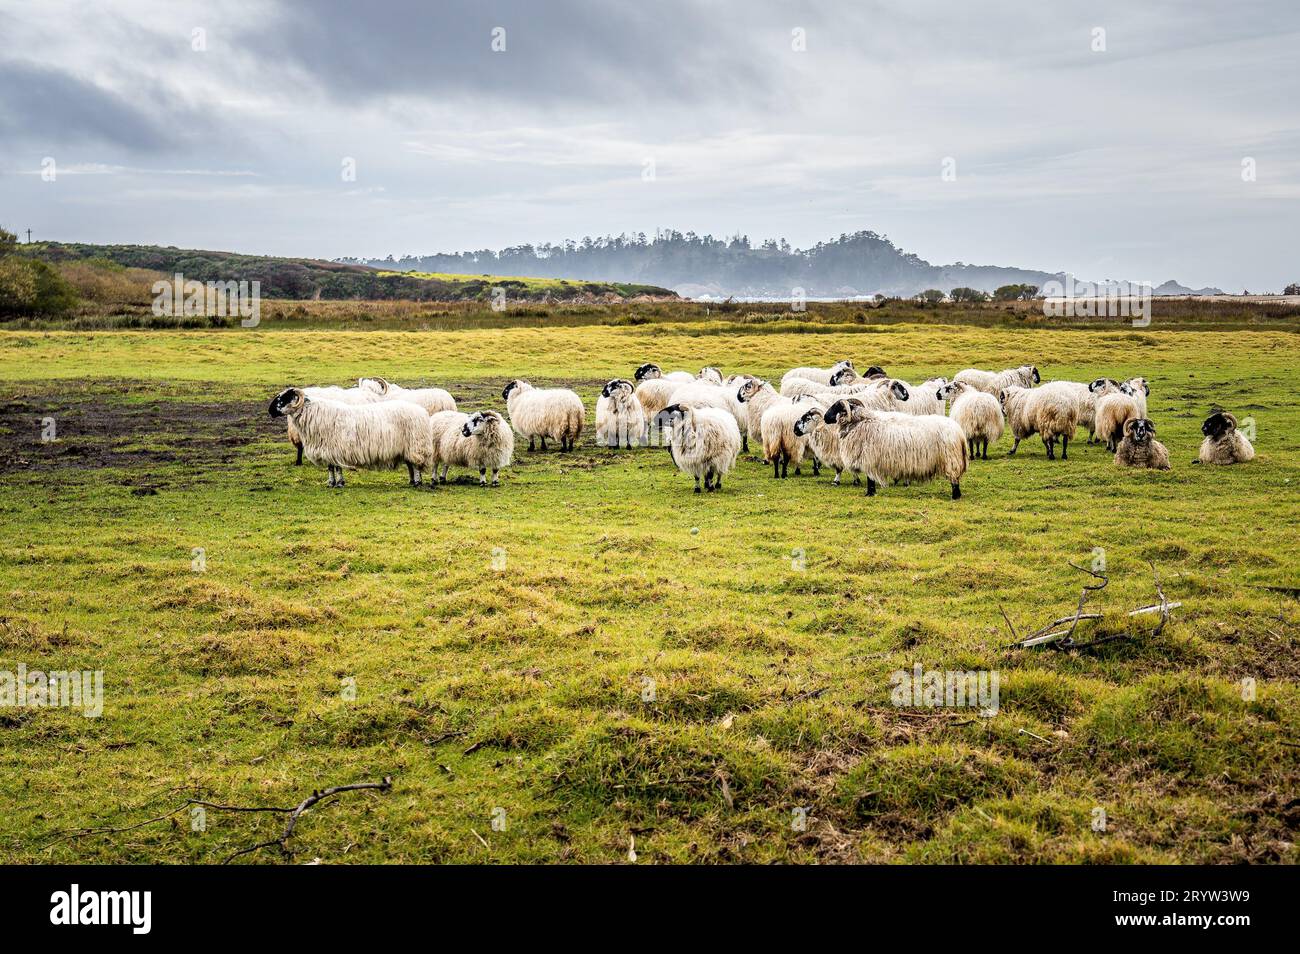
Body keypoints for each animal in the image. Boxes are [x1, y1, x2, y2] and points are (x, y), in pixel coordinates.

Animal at [268, 387, 433, 488]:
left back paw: (417, 482)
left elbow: (337, 467)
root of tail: (421, 411)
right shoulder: (327, 449)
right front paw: (331, 483)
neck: (313, 412)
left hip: (415, 445)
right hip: (407, 447)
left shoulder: (334, 448)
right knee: (410, 465)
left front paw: (339, 483)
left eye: (283, 399)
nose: (269, 411)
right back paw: (411, 481)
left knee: (416, 465)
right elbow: (331, 467)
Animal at [824, 399, 967, 499]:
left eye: (837, 407)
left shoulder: (869, 459)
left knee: (954, 480)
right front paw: (872, 493)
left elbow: (870, 479)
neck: (860, 423)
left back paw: (955, 496)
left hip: (951, 460)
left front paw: (870, 493)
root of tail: (959, 431)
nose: (825, 418)